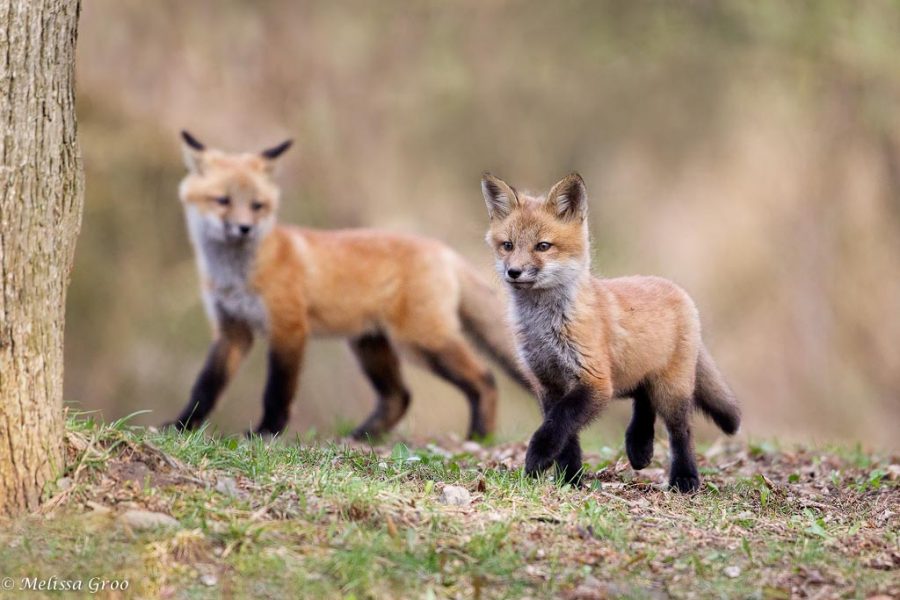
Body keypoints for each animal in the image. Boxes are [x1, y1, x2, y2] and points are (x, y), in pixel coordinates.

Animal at [164, 131, 532, 439]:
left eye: (257, 205)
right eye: (222, 200)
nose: (244, 228)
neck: (236, 276)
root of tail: (442, 249)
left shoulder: (289, 328)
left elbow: (278, 390)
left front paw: (267, 431)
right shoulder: (232, 331)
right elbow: (205, 387)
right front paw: (182, 425)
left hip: (423, 340)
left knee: (484, 379)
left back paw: (478, 438)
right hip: (370, 344)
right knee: (400, 396)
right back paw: (363, 435)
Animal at [480, 172, 740, 492]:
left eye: (543, 246)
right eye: (507, 245)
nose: (513, 272)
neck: (545, 327)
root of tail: (676, 289)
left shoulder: (595, 381)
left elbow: (557, 424)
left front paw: (539, 457)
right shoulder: (547, 383)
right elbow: (567, 436)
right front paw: (570, 478)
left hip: (671, 389)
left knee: (681, 430)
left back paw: (684, 477)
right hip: (632, 374)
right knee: (643, 400)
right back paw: (639, 446)